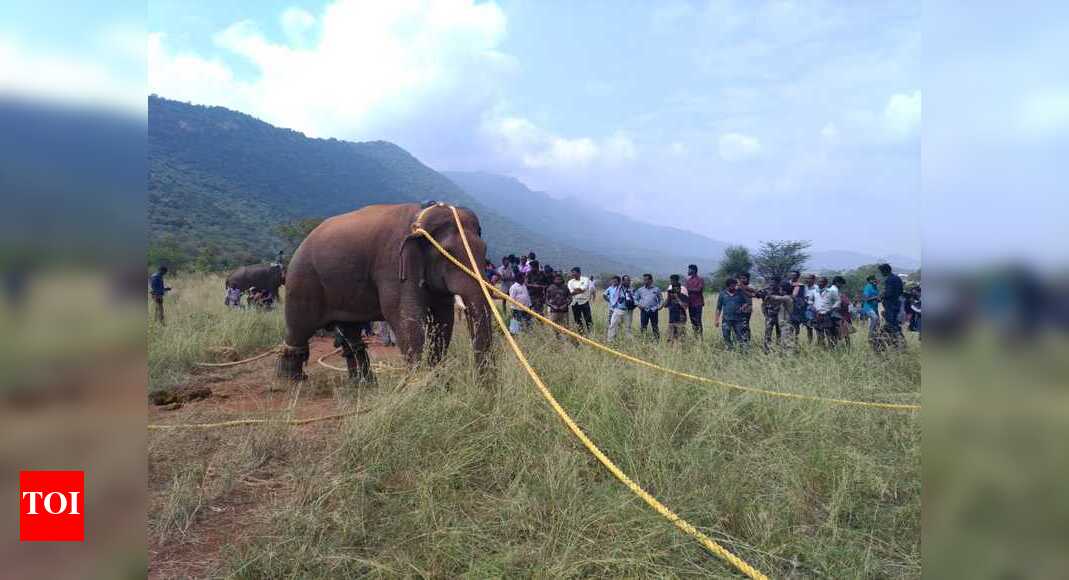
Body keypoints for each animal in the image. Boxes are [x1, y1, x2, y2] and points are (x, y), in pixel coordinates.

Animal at [276, 202, 493, 383]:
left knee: (350, 333)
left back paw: (363, 383)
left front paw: (439, 380)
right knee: (299, 328)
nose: (481, 385)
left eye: (484, 250)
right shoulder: (393, 266)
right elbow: (405, 318)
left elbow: (442, 320)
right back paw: (291, 381)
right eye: (447, 253)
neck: (420, 215)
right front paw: (426, 385)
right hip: (302, 280)